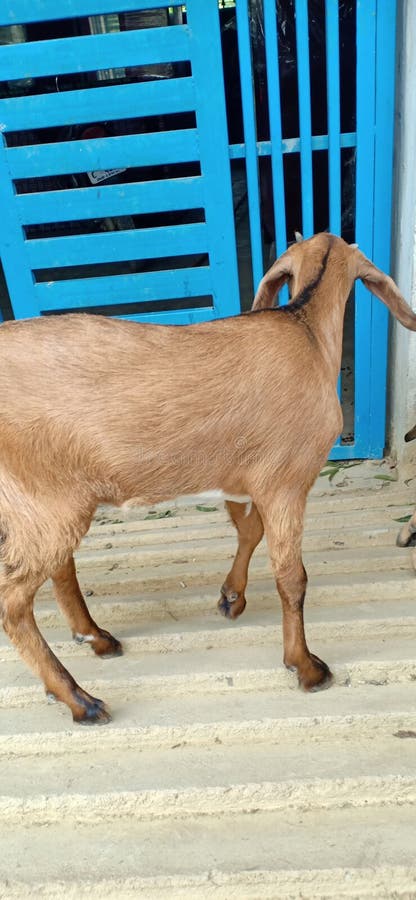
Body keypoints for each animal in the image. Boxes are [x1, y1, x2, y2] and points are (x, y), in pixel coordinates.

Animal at [1, 233, 415, 725]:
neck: (307, 331)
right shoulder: (287, 481)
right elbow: (291, 577)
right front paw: (306, 667)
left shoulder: (243, 477)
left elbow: (249, 530)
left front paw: (231, 599)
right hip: (44, 500)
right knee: (13, 601)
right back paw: (79, 700)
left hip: (52, 496)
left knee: (58, 567)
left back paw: (96, 638)